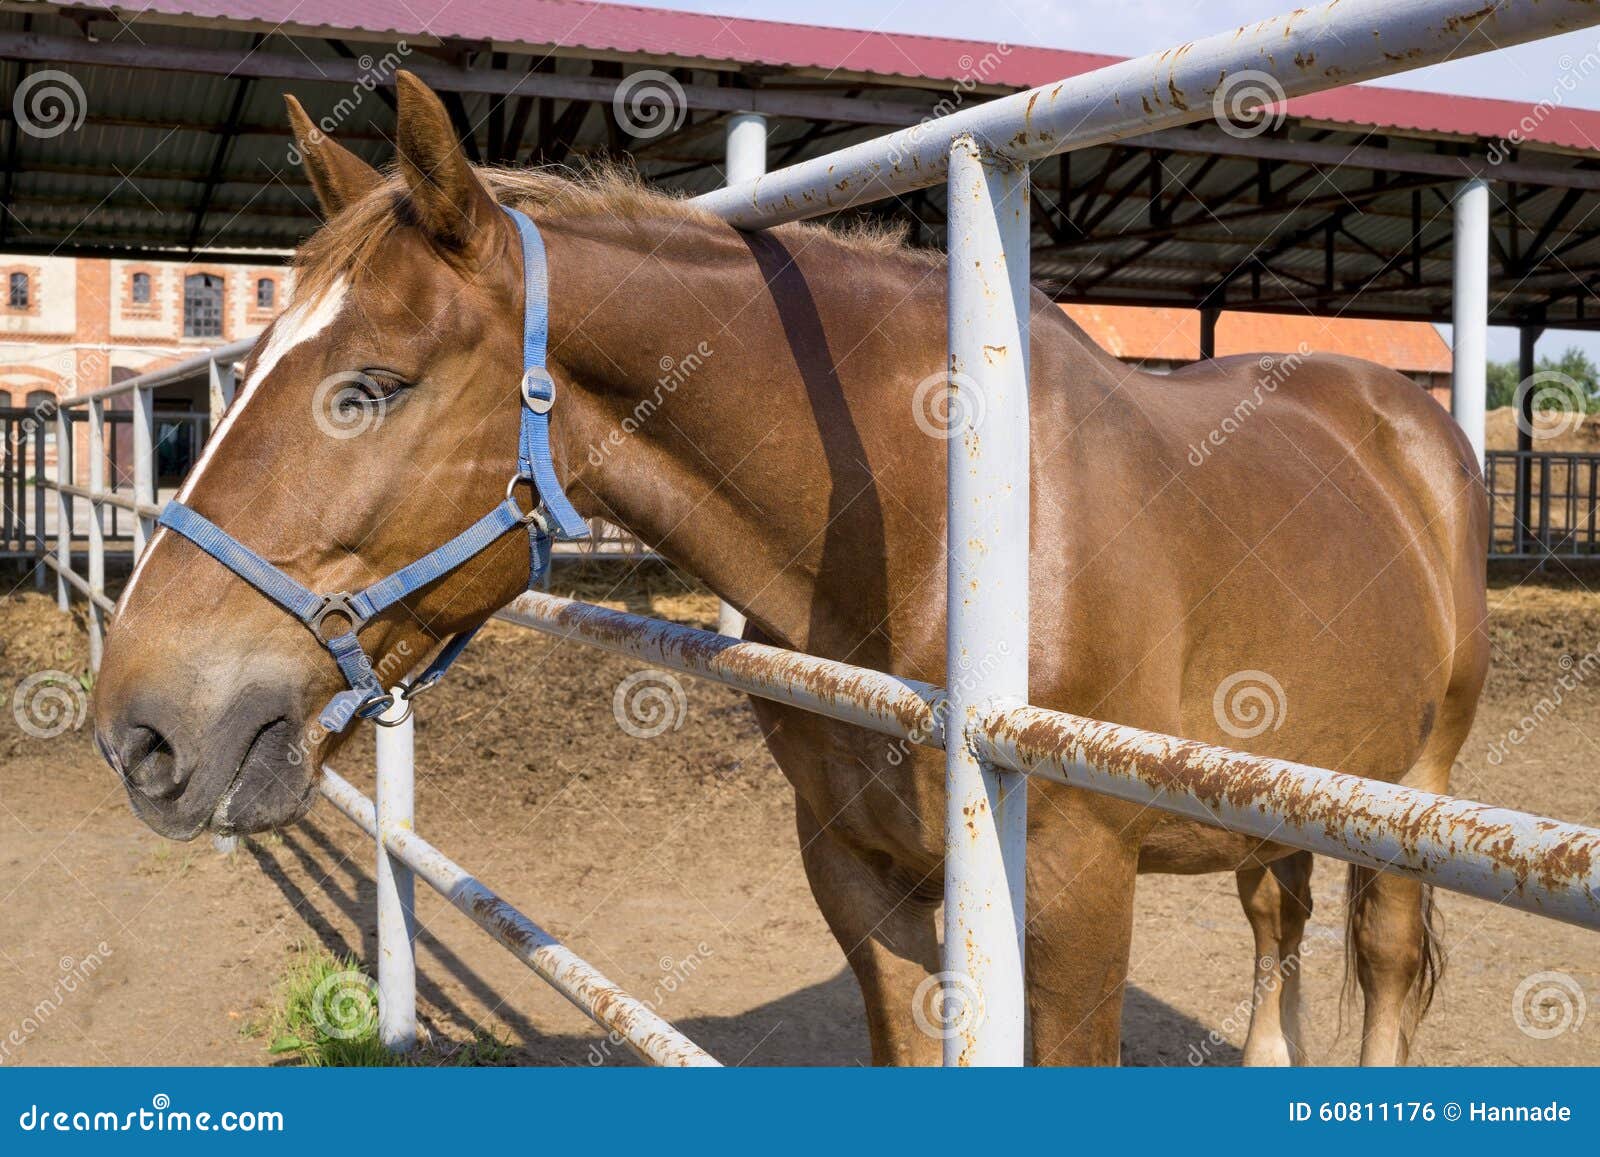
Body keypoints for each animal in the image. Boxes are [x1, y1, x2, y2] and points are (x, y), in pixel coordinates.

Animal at [93, 72, 1488, 1066]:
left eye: (368, 387)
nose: (139, 730)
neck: (934, 527)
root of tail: (1402, 420)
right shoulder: (860, 878)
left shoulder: (1076, 893)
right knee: (1276, 921)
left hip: (1412, 794)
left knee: (1381, 958)